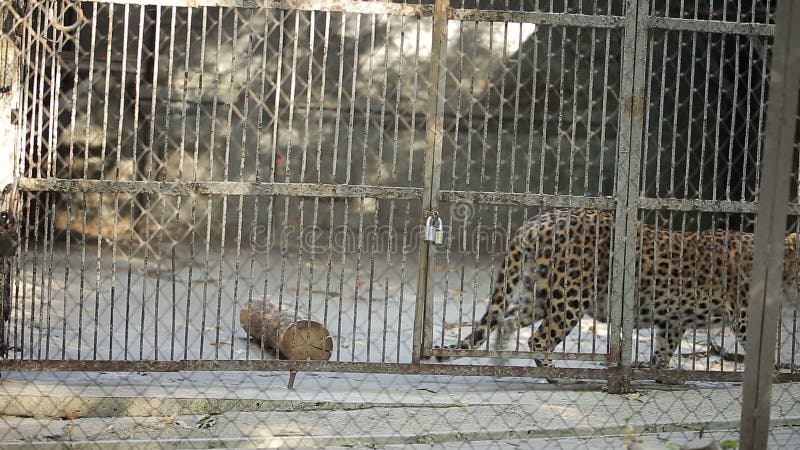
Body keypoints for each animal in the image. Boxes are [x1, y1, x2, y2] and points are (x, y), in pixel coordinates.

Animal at [428, 208, 800, 372]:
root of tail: (535, 223)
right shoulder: (745, 317)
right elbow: (763, 350)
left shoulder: (673, 321)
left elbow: (664, 350)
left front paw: (655, 373)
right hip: (571, 296)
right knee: (539, 338)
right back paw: (552, 373)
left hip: (539, 293)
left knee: (506, 321)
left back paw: (502, 361)